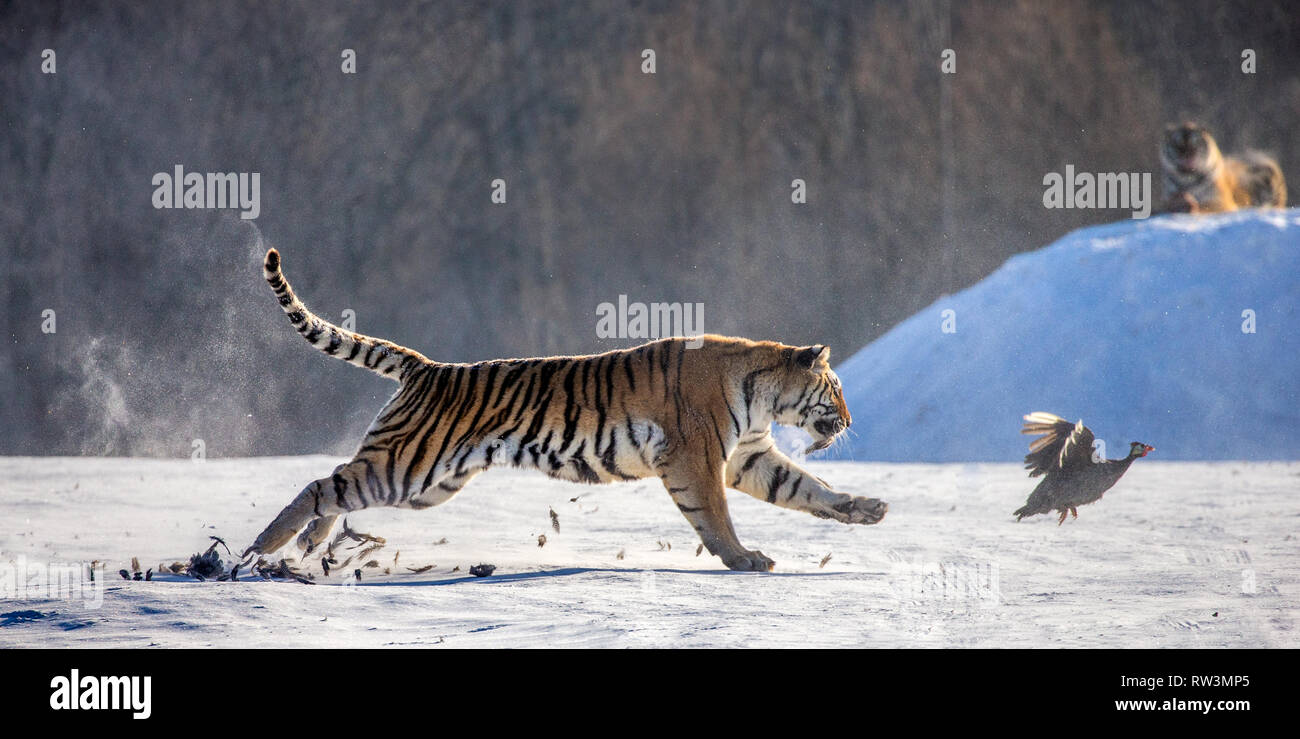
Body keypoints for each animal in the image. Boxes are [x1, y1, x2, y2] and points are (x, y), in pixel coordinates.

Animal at [244, 249, 887, 572]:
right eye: (836, 390)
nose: (852, 421)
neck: (762, 399)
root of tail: (427, 368)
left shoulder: (747, 455)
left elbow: (807, 488)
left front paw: (866, 508)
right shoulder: (697, 457)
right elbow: (716, 516)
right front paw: (744, 559)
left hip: (429, 483)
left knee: (336, 484)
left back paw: (307, 543)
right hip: (406, 466)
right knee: (321, 485)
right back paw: (265, 547)